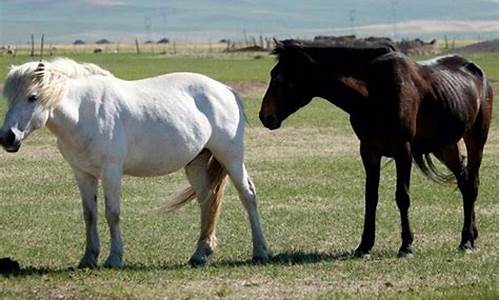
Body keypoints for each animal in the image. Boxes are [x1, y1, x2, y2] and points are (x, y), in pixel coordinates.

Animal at [0, 57, 270, 268]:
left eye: (32, 97)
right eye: (9, 98)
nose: (7, 137)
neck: (84, 111)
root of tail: (226, 90)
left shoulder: (111, 172)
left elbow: (112, 213)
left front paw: (114, 258)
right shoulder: (83, 174)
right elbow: (90, 214)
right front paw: (88, 258)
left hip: (231, 157)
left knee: (248, 195)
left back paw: (260, 251)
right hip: (196, 162)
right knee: (207, 201)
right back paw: (200, 254)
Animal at [260, 38, 494, 256]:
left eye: (280, 78)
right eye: (272, 74)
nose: (264, 116)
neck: (373, 91)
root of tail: (478, 73)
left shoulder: (403, 151)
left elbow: (402, 196)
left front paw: (406, 246)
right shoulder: (368, 151)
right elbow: (371, 197)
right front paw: (365, 246)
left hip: (475, 140)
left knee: (471, 185)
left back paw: (466, 241)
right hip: (445, 146)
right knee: (464, 182)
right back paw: (470, 236)